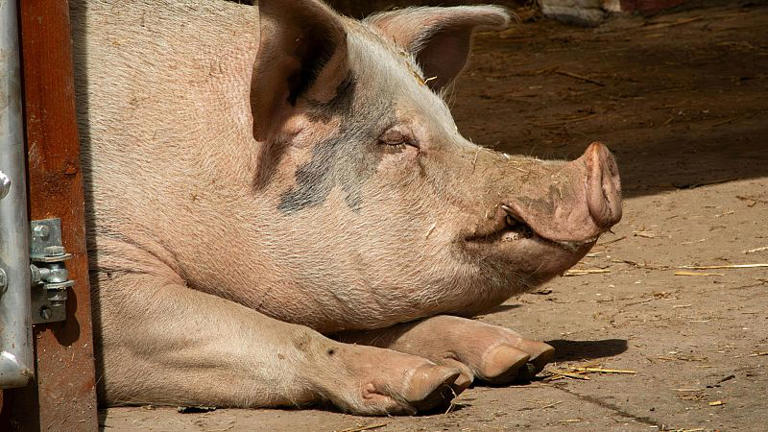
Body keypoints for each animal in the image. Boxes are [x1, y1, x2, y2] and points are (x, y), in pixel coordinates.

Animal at [71, 0, 622, 415]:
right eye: (395, 140)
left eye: (454, 127)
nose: (603, 163)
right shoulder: (104, 275)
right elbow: (281, 331)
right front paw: (436, 384)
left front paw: (525, 356)